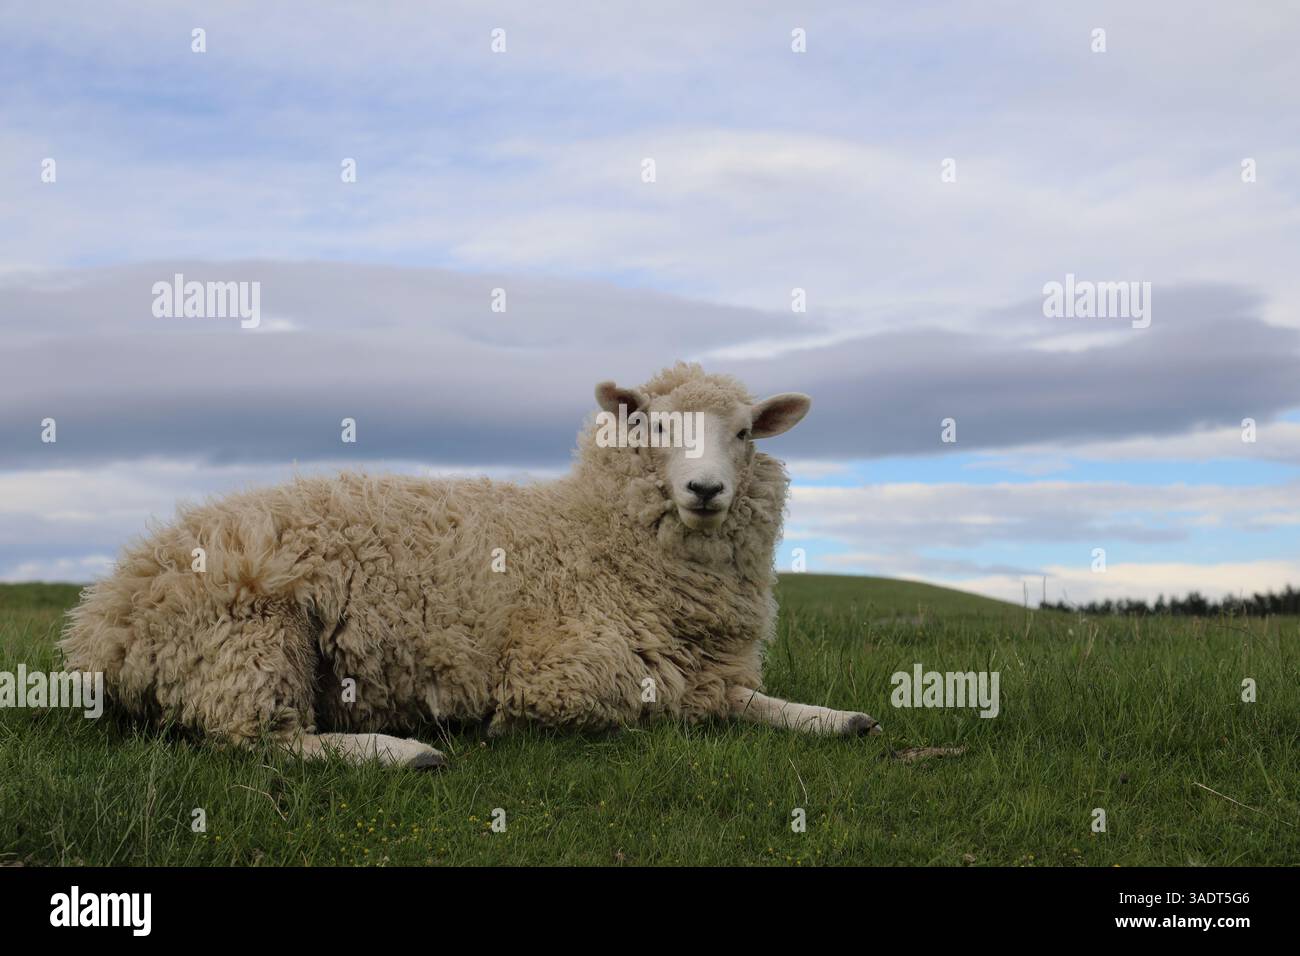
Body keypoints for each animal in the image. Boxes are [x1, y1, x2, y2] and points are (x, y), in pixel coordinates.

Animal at [60, 362, 881, 768]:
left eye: (744, 433)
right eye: (650, 426)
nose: (705, 490)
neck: (589, 536)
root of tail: (100, 623)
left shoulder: (705, 670)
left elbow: (752, 703)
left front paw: (838, 719)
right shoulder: (561, 667)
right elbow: (631, 707)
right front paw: (500, 727)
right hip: (250, 631)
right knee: (259, 740)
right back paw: (401, 752)